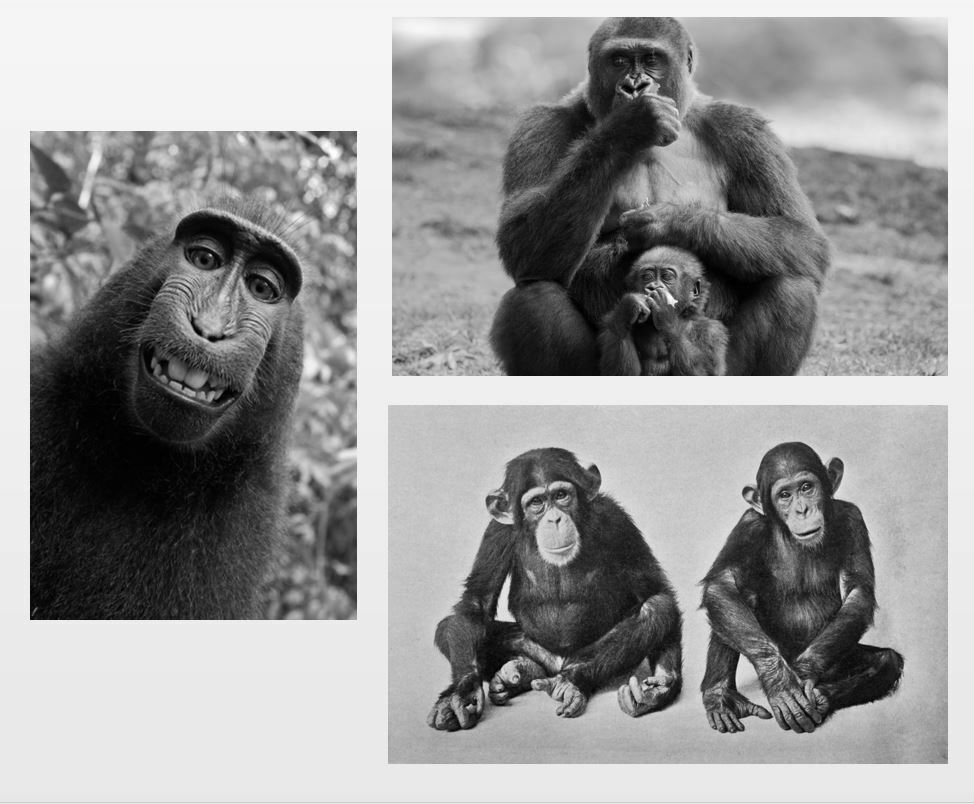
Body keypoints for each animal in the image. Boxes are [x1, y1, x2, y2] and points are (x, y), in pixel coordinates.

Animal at [597, 245, 727, 375]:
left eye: (667, 276)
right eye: (647, 277)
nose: (652, 287)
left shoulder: (712, 332)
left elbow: (708, 373)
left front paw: (666, 314)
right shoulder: (610, 323)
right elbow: (619, 373)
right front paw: (628, 307)